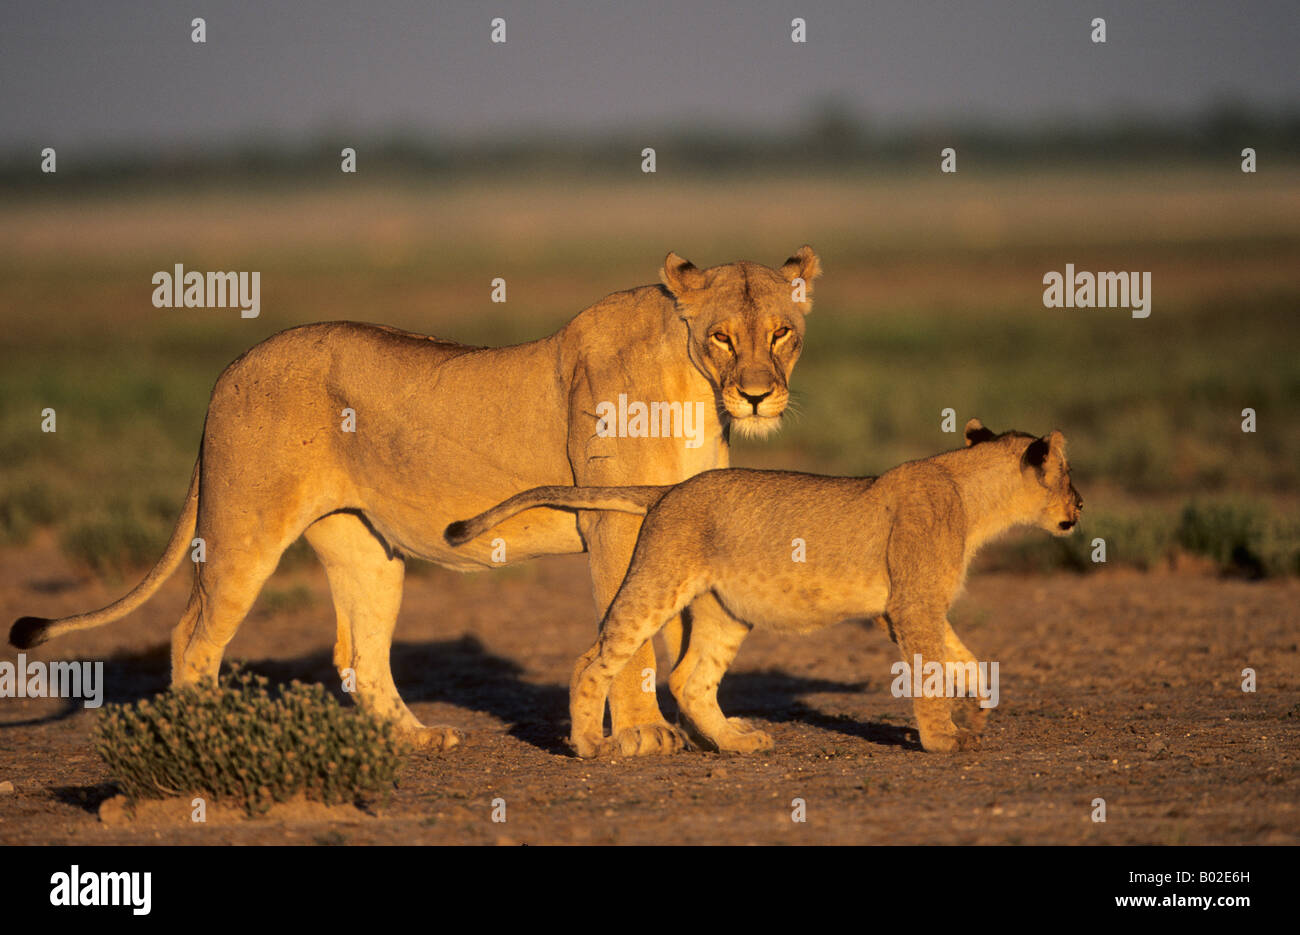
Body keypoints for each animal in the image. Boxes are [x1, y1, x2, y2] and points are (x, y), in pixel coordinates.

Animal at [11, 246, 823, 754]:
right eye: (722, 338)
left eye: (783, 332)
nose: (758, 395)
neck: (697, 391)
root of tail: (231, 366)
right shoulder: (612, 522)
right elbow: (634, 639)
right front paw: (643, 735)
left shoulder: (682, 516)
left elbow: (684, 634)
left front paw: (715, 731)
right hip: (245, 525)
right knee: (193, 637)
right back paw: (203, 749)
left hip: (363, 545)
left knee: (358, 653)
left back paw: (416, 738)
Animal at [444, 419, 1083, 756]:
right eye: (1070, 475)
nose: (1081, 505)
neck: (976, 501)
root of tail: (668, 490)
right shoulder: (911, 606)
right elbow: (932, 670)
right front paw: (942, 738)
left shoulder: (912, 609)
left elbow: (965, 660)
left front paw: (973, 715)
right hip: (655, 583)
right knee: (592, 659)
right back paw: (587, 746)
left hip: (726, 610)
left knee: (689, 678)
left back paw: (735, 742)